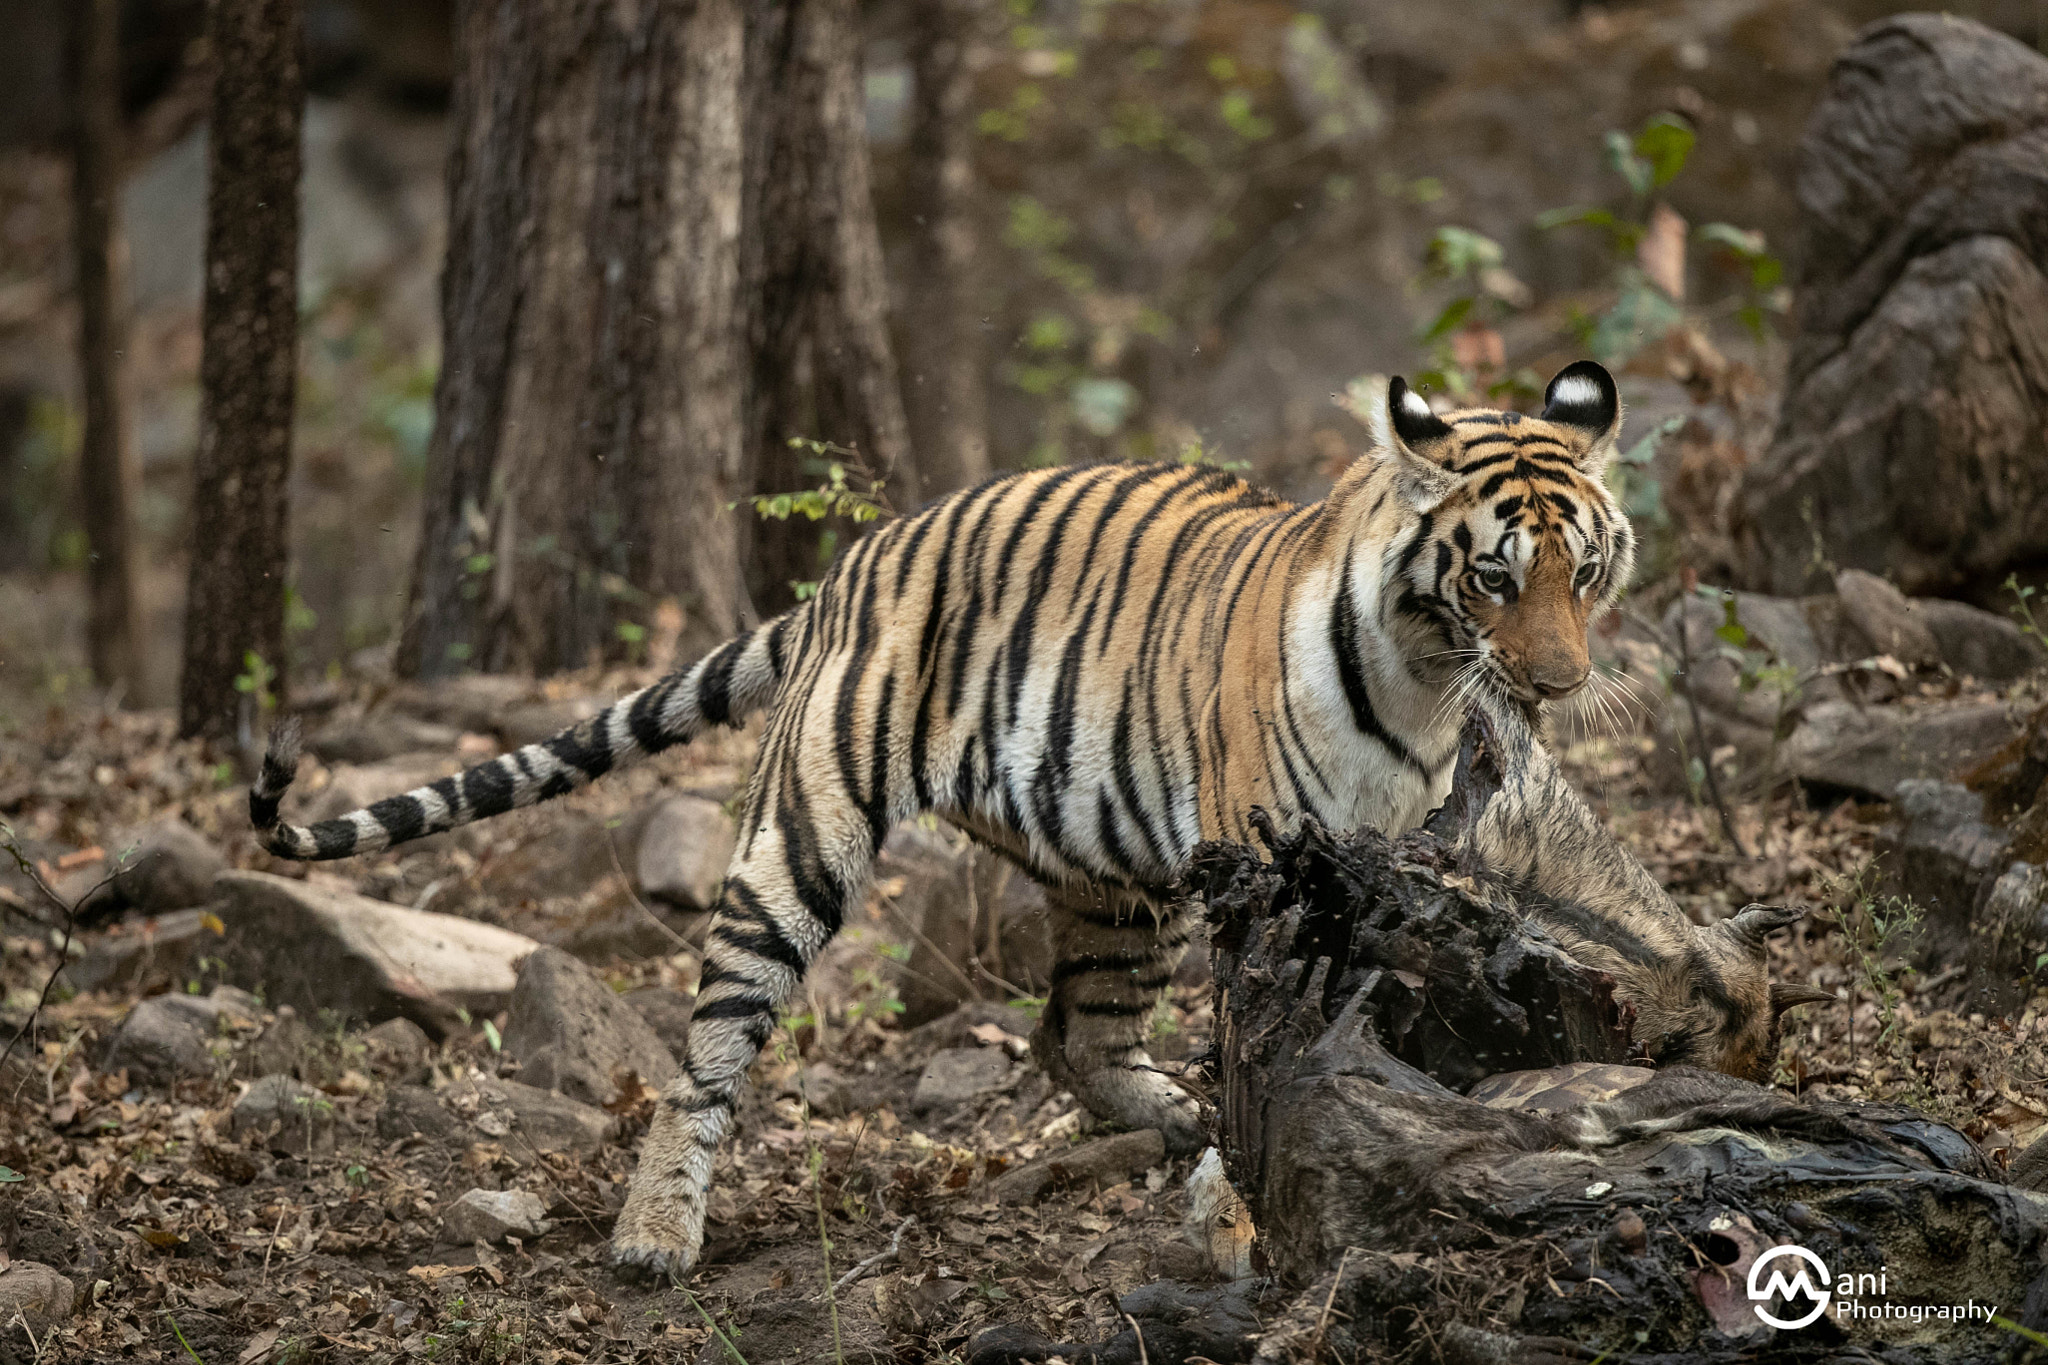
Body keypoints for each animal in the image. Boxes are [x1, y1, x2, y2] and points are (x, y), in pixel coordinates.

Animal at [249, 360, 1797, 1280]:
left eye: (1583, 575)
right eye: (1492, 576)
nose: (1559, 683)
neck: (1428, 681)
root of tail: (857, 557)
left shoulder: (1488, 807)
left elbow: (1618, 889)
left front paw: (1729, 1006)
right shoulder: (1275, 865)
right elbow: (1274, 1029)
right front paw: (1250, 1204)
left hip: (1116, 872)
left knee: (1075, 1033)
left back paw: (1164, 1121)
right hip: (806, 841)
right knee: (709, 1047)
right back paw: (654, 1232)